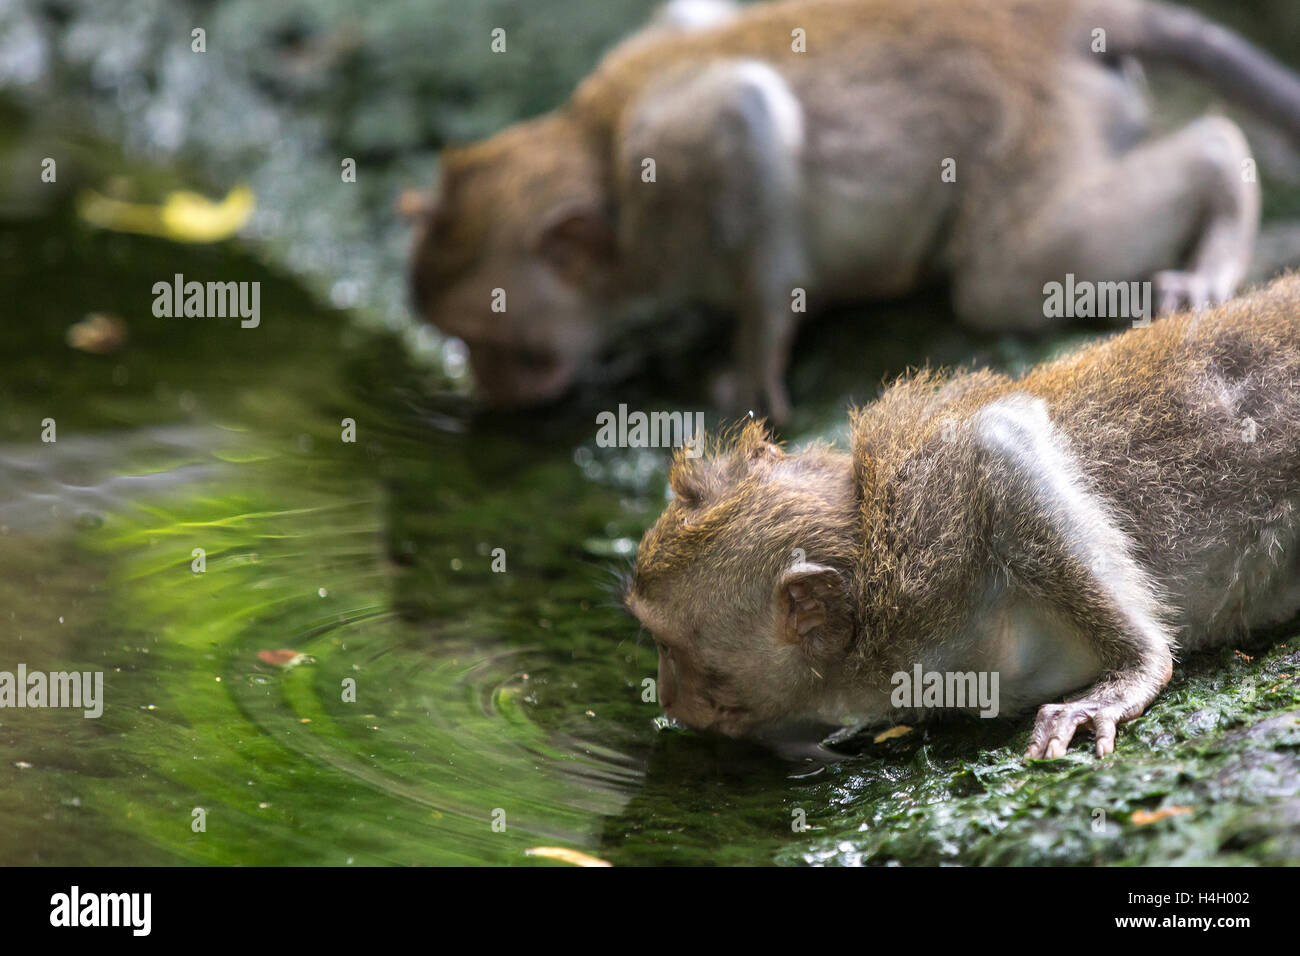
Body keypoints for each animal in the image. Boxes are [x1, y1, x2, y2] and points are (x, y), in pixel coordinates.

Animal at [410, 0, 1300, 423]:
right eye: (462, 343)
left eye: (498, 345)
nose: (490, 391)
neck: (592, 144)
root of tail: (1047, 19)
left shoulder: (665, 177)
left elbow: (746, 114)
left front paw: (753, 362)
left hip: (1038, 117)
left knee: (1005, 276)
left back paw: (1221, 179)